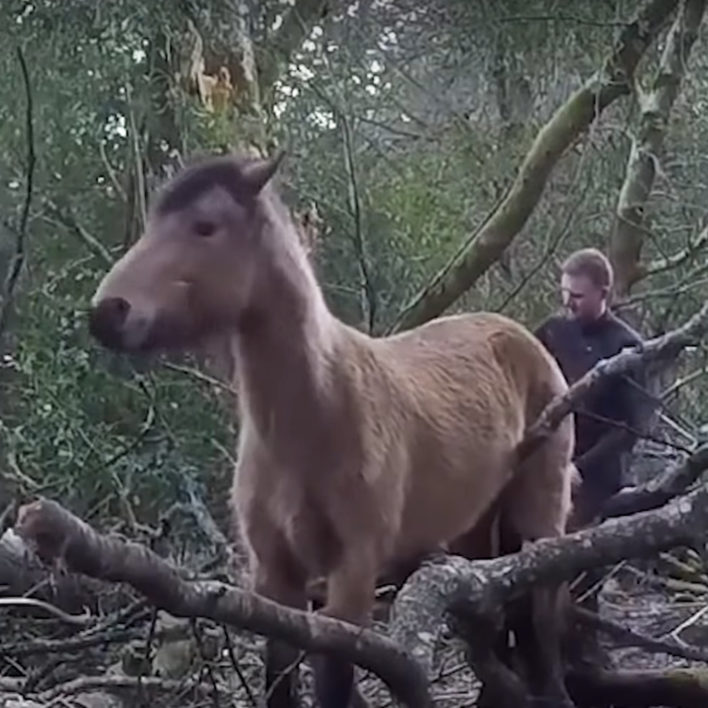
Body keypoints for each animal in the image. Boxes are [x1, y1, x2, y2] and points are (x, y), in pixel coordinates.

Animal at [88, 151, 578, 708]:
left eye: (205, 226)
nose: (107, 312)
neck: (320, 413)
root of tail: (524, 339)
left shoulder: (353, 571)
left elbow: (334, 680)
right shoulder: (275, 575)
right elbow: (280, 681)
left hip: (539, 519)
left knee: (541, 620)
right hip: (476, 530)